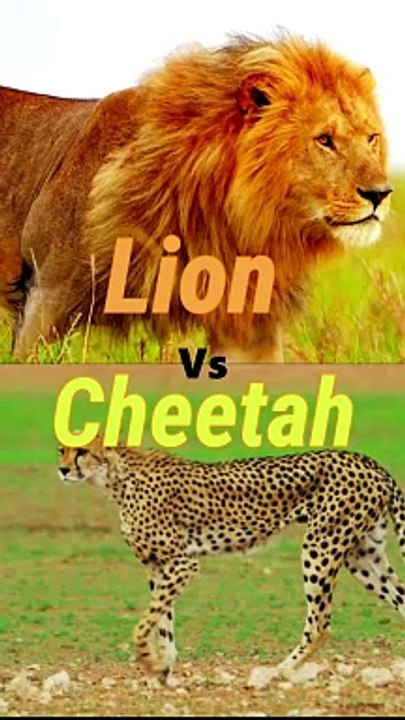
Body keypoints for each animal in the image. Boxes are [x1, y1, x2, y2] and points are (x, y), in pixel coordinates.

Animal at [58, 437, 405, 680]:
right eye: (61, 449)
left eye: (82, 450)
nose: (62, 470)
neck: (116, 476)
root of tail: (371, 463)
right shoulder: (157, 566)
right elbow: (162, 620)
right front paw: (163, 668)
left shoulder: (182, 562)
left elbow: (147, 622)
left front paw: (147, 659)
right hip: (362, 556)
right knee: (400, 598)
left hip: (320, 546)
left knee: (320, 623)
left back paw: (280, 670)